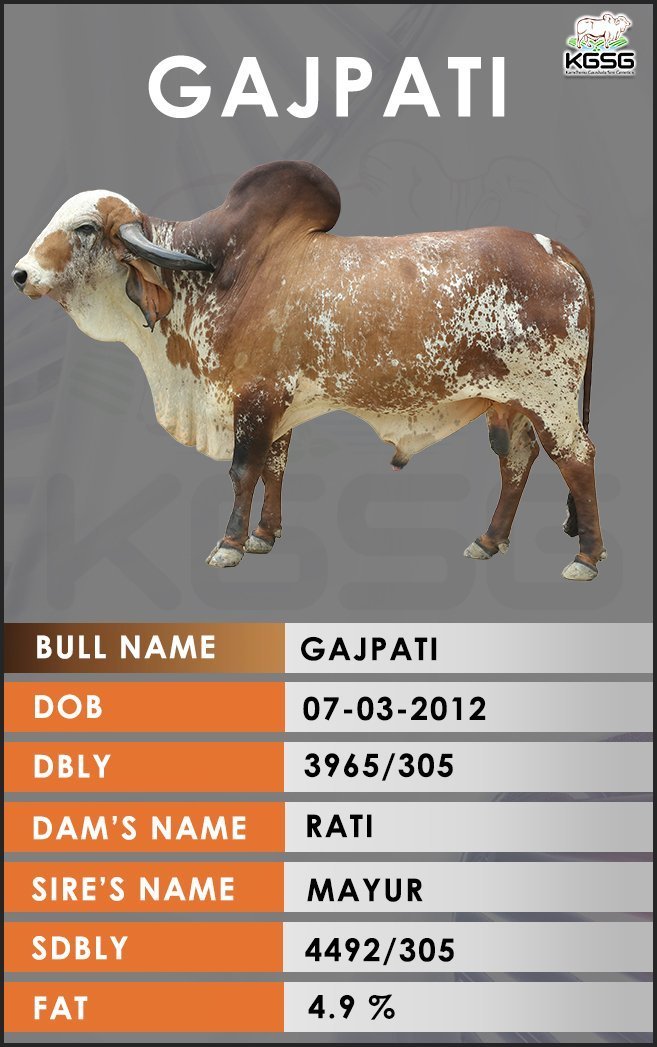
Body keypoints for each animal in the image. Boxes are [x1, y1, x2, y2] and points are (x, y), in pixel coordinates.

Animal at [12, 160, 605, 580]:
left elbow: (242, 470)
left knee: (576, 459)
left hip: (551, 396)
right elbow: (274, 468)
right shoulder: (278, 407)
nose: (20, 274)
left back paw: (587, 558)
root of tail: (555, 248)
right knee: (517, 462)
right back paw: (489, 540)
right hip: (513, 404)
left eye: (86, 229)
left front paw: (229, 544)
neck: (212, 278)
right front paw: (263, 535)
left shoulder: (254, 398)